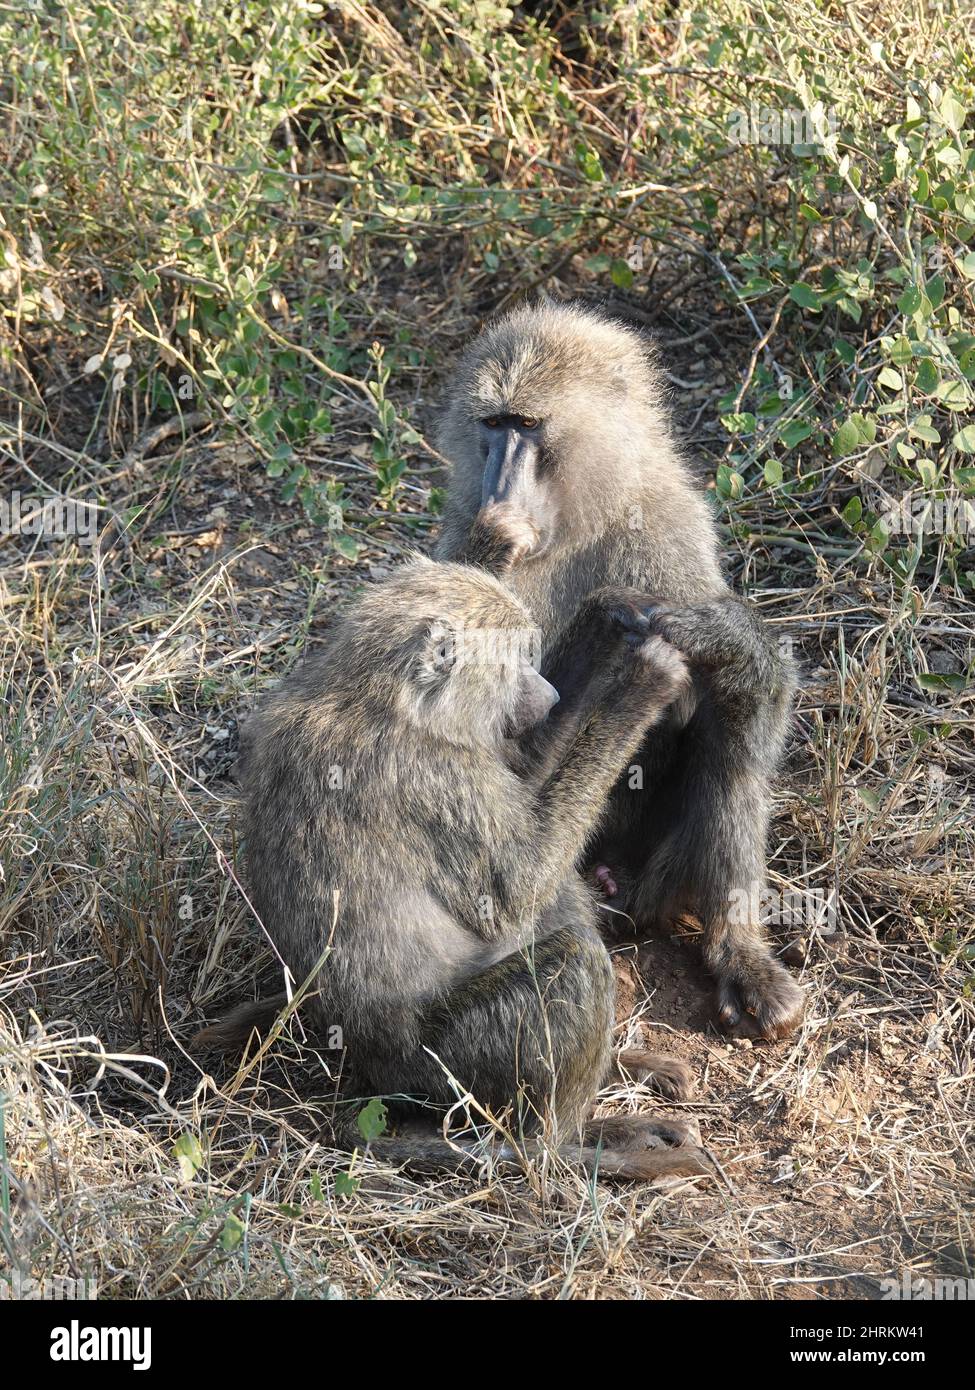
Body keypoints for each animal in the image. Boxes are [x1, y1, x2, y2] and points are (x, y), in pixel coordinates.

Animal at [196, 556, 713, 1181]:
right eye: (514, 663)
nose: (548, 695)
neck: (378, 698)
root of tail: (365, 1064)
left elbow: (527, 784)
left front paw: (609, 613)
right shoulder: (439, 776)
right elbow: (516, 891)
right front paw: (642, 683)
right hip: (445, 1064)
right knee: (573, 961)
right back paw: (572, 1145)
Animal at [434, 300, 804, 1041]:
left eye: (528, 426)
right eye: (492, 425)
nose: (499, 488)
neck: (579, 518)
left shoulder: (670, 528)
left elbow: (742, 685)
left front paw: (714, 632)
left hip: (658, 868)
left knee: (731, 730)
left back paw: (737, 953)